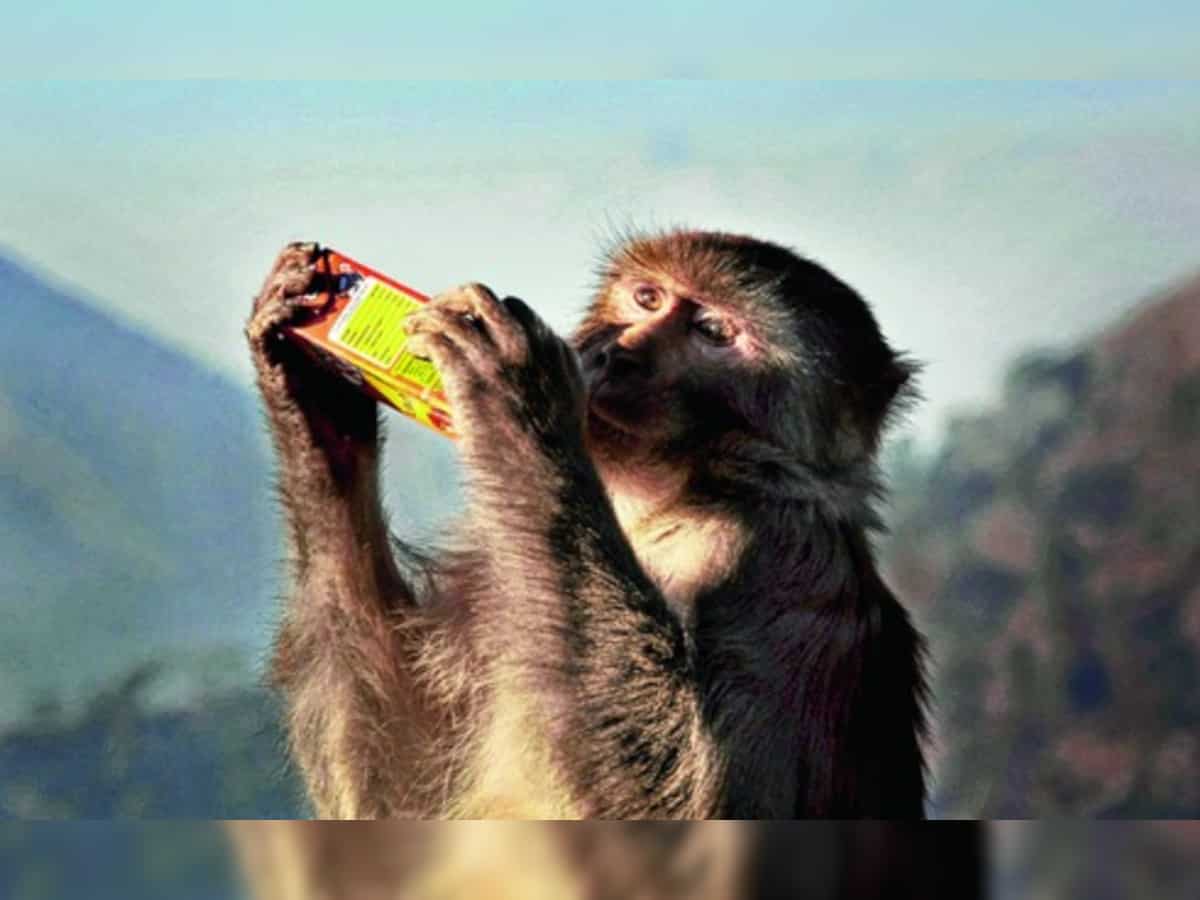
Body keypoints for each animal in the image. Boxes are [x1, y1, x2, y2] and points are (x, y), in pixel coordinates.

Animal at [244, 228, 928, 820]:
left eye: (712, 331)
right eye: (646, 297)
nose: (619, 352)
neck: (662, 502)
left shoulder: (785, 567)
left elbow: (702, 810)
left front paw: (520, 393)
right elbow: (400, 803)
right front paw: (316, 398)